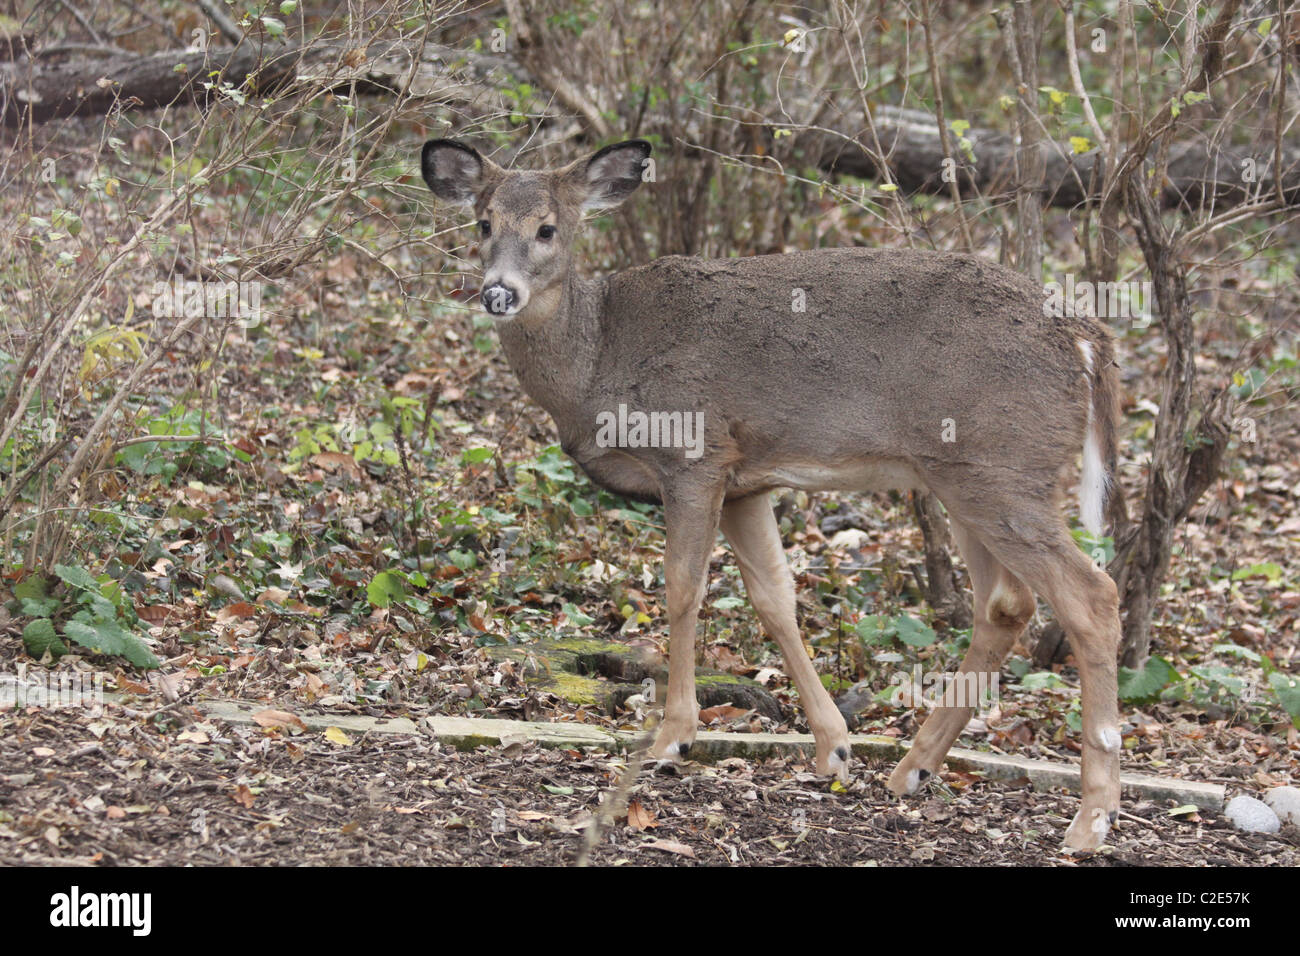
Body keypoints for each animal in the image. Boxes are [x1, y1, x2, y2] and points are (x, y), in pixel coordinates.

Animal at [420, 137, 1125, 852]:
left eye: (547, 228)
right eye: (483, 222)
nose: (498, 292)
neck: (596, 359)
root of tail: (1088, 340)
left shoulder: (694, 452)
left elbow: (683, 589)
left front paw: (675, 738)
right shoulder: (745, 481)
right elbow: (774, 598)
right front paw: (833, 749)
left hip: (1000, 466)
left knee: (1092, 596)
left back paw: (1091, 818)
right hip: (961, 475)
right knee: (1007, 605)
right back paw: (913, 769)